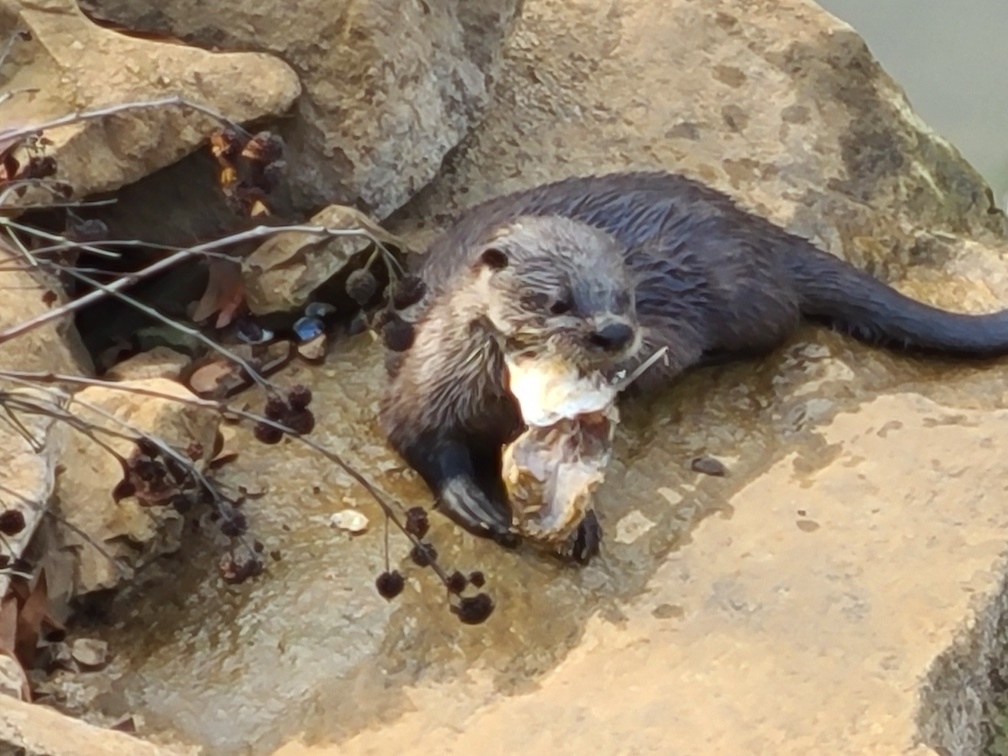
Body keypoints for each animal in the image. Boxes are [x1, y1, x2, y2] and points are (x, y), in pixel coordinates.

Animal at [379, 170, 1008, 562]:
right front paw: (473, 502)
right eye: (558, 302)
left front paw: (582, 522)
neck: (495, 406)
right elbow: (420, 439)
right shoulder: (422, 384)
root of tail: (756, 230)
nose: (617, 332)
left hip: (742, 298)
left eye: (626, 295)